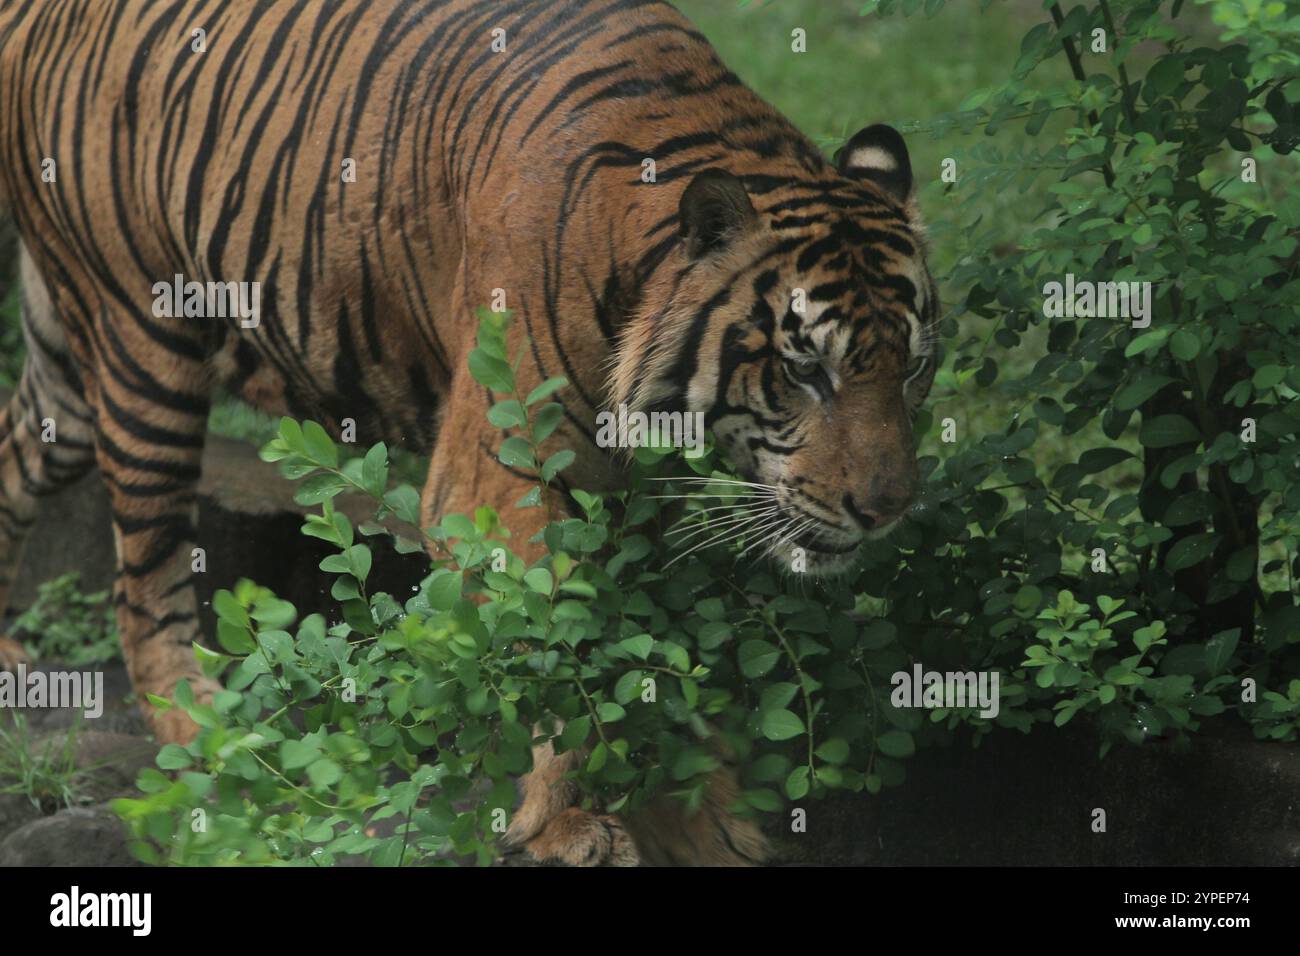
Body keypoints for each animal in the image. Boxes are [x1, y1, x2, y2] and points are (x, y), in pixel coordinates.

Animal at [0, 0, 938, 866]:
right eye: (805, 370)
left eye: (913, 368)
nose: (887, 508)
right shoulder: (507, 473)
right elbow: (570, 642)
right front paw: (569, 825)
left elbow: (648, 644)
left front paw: (699, 819)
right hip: (142, 341)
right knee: (142, 585)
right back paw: (208, 736)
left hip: (67, 387)